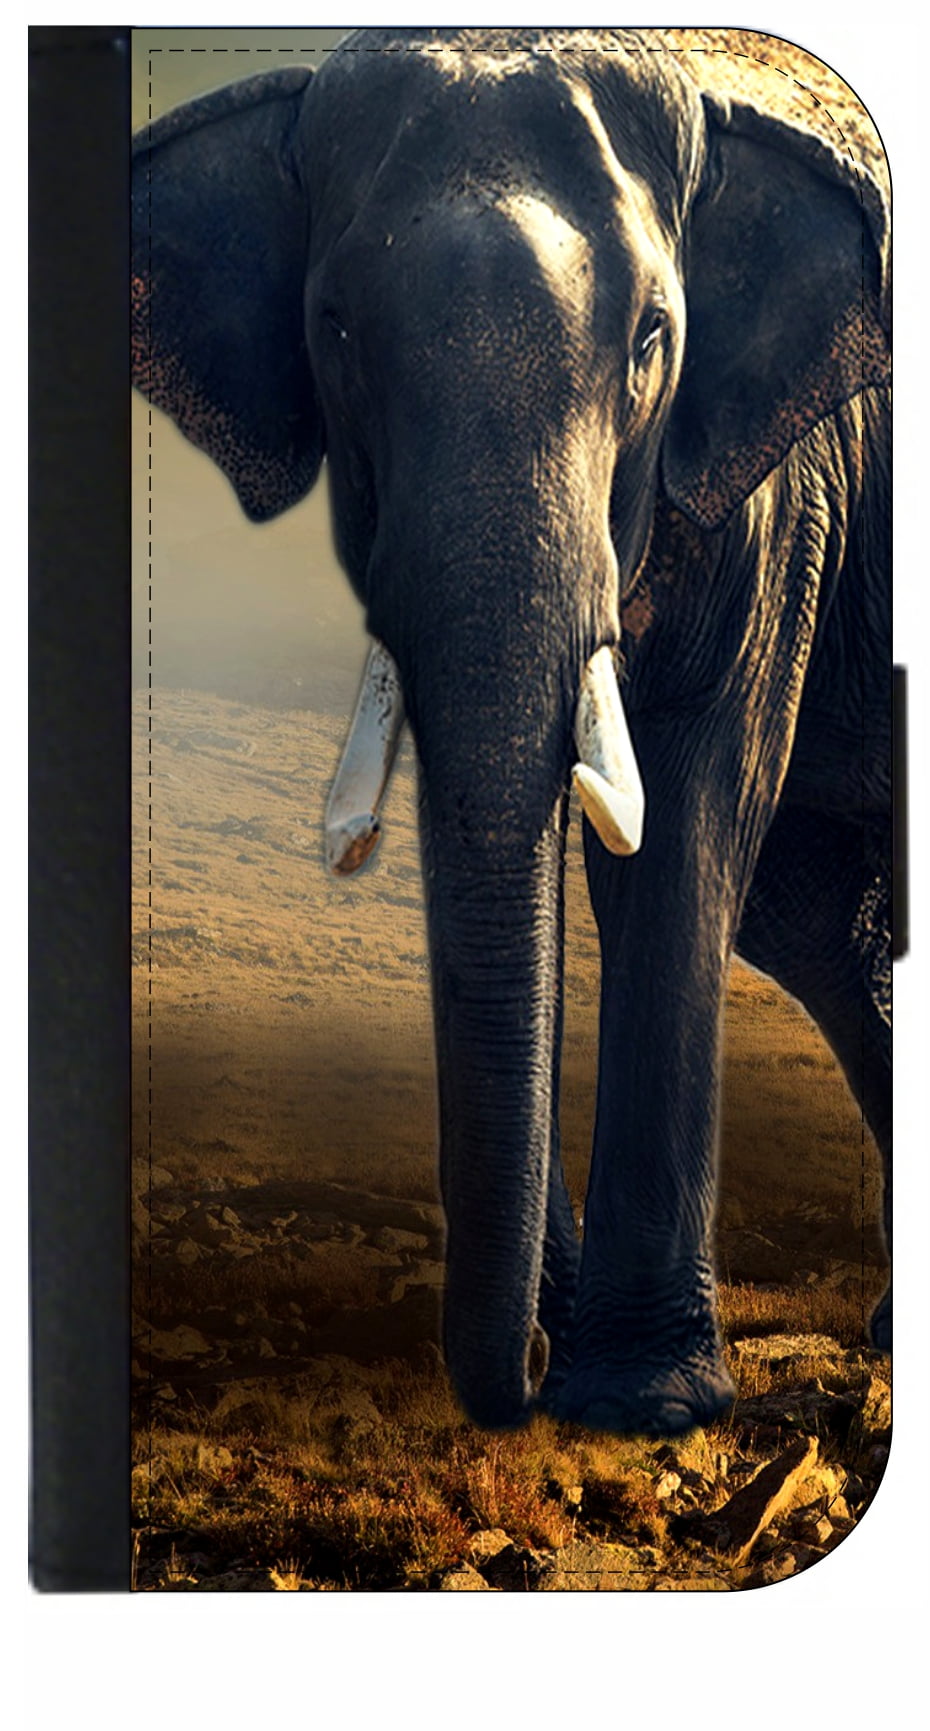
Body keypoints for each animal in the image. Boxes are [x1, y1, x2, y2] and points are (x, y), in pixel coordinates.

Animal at [131, 28, 891, 1435]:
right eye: (335, 330)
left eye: (653, 339)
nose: (526, 1379)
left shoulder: (783, 483)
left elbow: (682, 826)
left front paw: (645, 1404)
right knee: (815, 922)